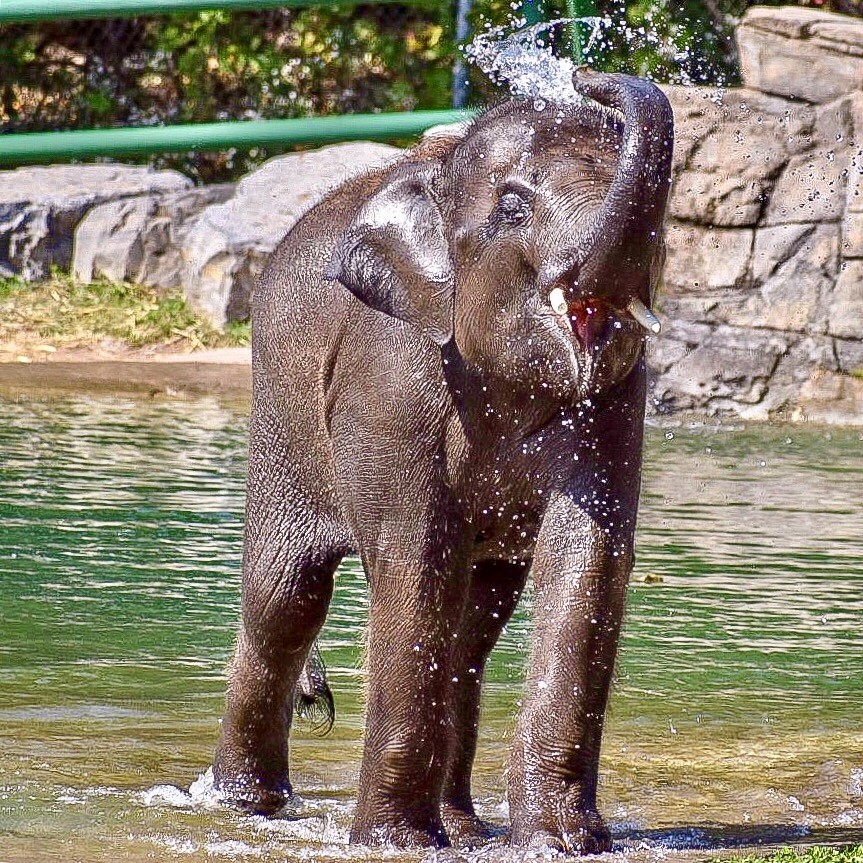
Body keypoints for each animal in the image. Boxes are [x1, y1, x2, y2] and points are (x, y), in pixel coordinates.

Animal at [212, 70, 674, 855]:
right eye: (513, 205)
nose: (587, 77)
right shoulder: (393, 384)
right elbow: (414, 562)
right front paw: (395, 843)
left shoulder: (617, 404)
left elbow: (588, 558)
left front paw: (564, 844)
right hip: (280, 420)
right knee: (284, 601)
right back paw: (244, 805)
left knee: (472, 630)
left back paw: (466, 828)